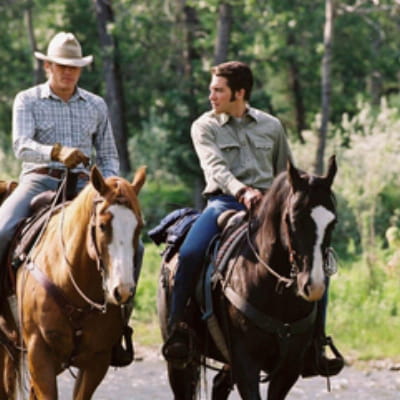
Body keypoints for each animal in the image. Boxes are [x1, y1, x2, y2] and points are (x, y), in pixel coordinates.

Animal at [157, 156, 338, 400]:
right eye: (293, 219)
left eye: (333, 222)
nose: (314, 284)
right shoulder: (246, 365)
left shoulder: (288, 369)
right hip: (180, 361)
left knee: (219, 385)